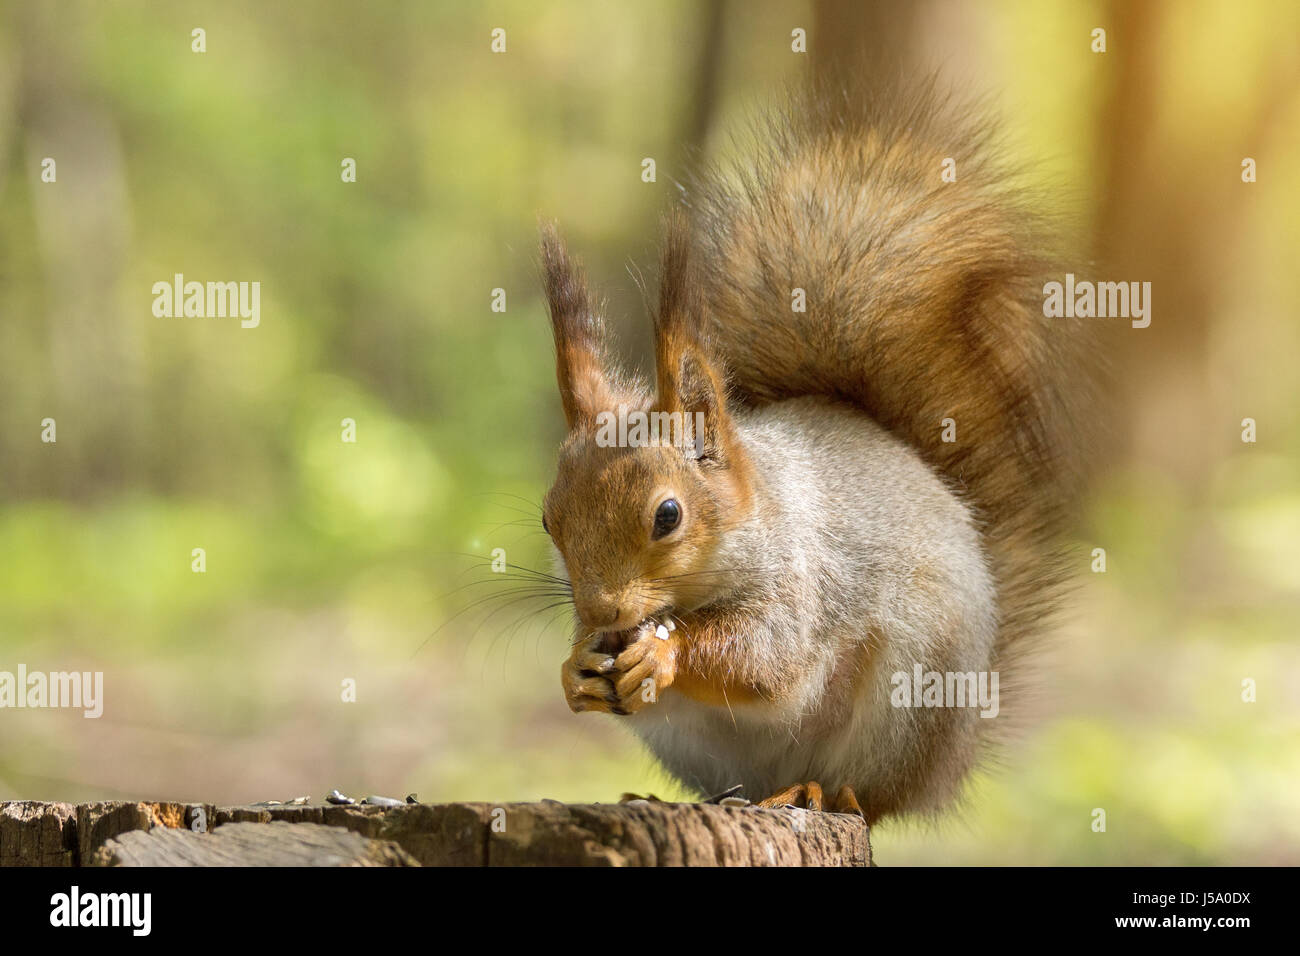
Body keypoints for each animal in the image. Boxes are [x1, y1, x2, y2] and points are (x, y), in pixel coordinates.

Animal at [536, 76, 1090, 824]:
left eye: (667, 516)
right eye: (549, 520)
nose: (602, 613)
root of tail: (944, 768)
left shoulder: (803, 579)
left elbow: (767, 660)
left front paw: (664, 655)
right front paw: (575, 669)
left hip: (909, 697)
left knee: (869, 798)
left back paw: (823, 790)